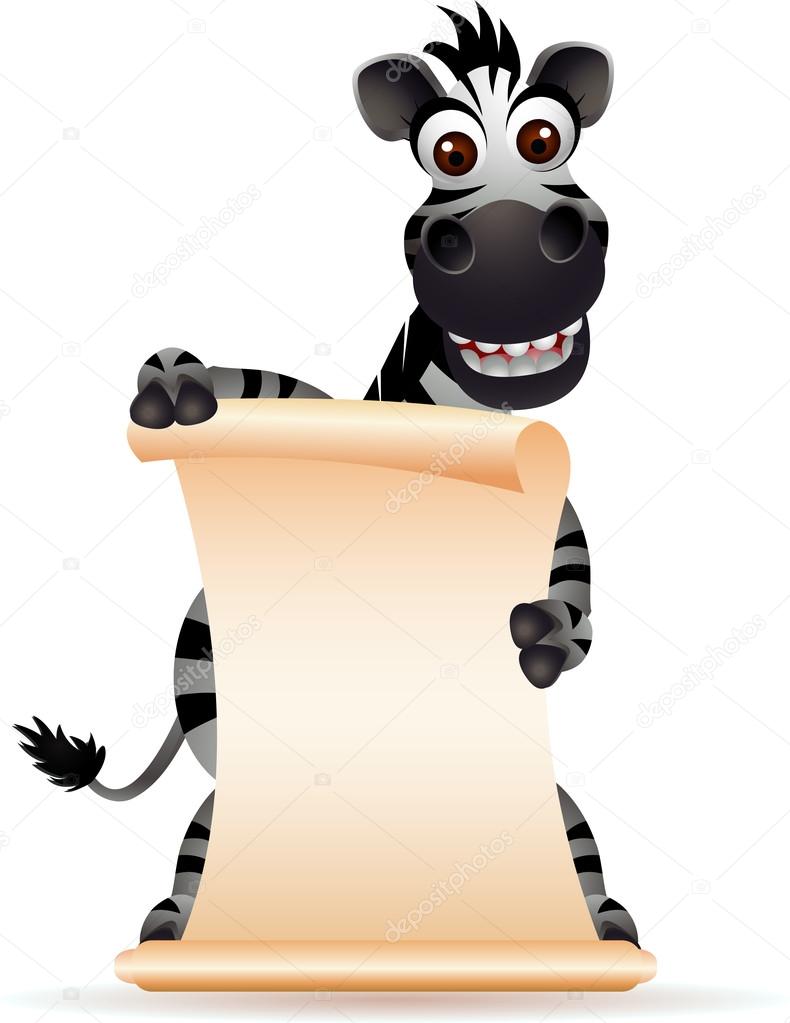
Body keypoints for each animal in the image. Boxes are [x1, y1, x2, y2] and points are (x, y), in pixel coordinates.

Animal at [16, 4, 639, 948]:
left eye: (545, 138)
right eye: (447, 152)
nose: (511, 261)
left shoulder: (549, 509)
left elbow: (573, 587)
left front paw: (554, 632)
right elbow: (265, 387)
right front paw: (177, 381)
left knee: (565, 829)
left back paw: (600, 921)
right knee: (211, 829)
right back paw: (178, 923)